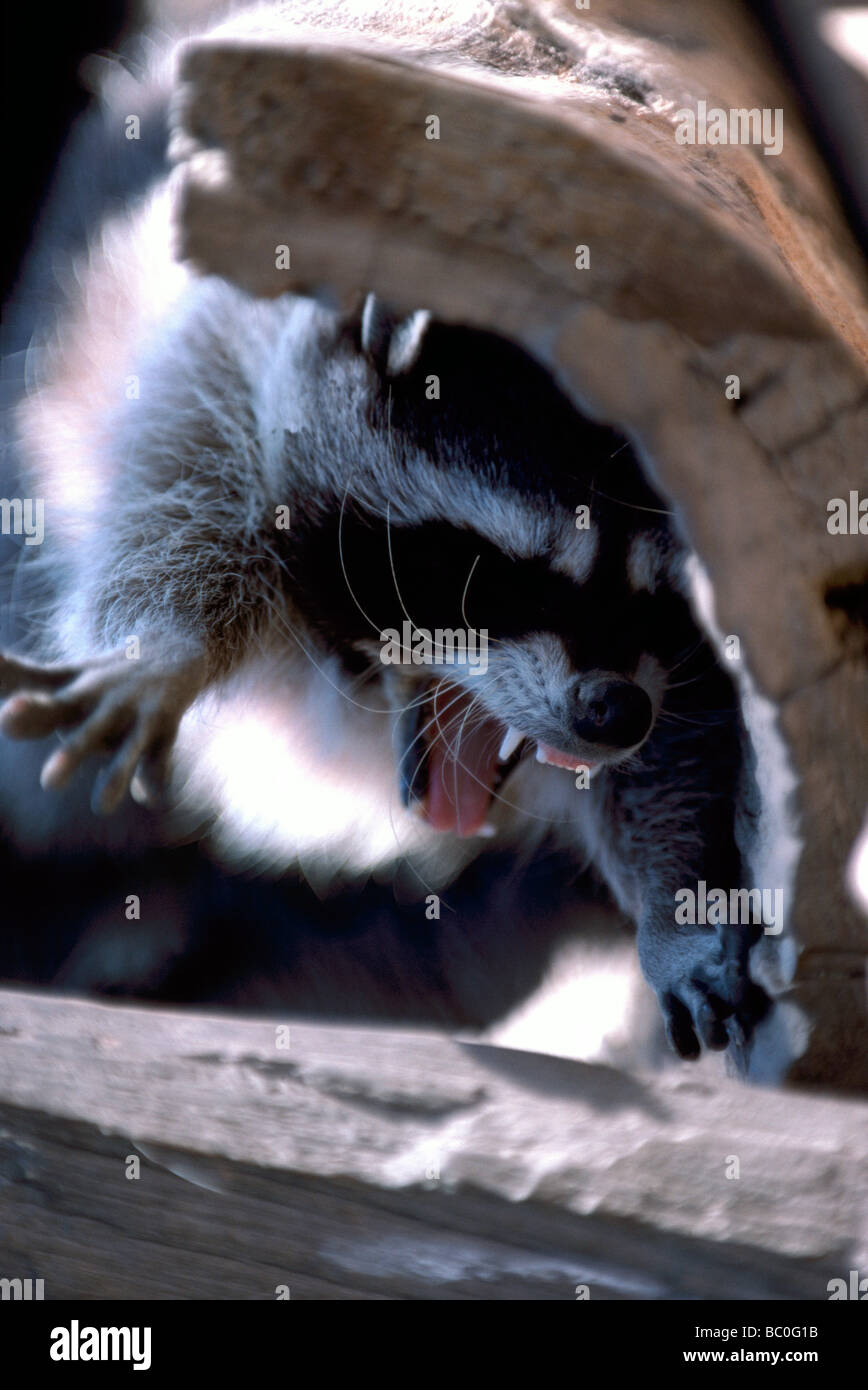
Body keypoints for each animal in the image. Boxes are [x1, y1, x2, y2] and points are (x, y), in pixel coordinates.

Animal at [1, 33, 770, 1064]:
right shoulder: (224, 354)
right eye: (495, 575)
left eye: (664, 600)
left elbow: (683, 746)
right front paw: (162, 650)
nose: (614, 711)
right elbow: (172, 491)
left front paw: (675, 896)